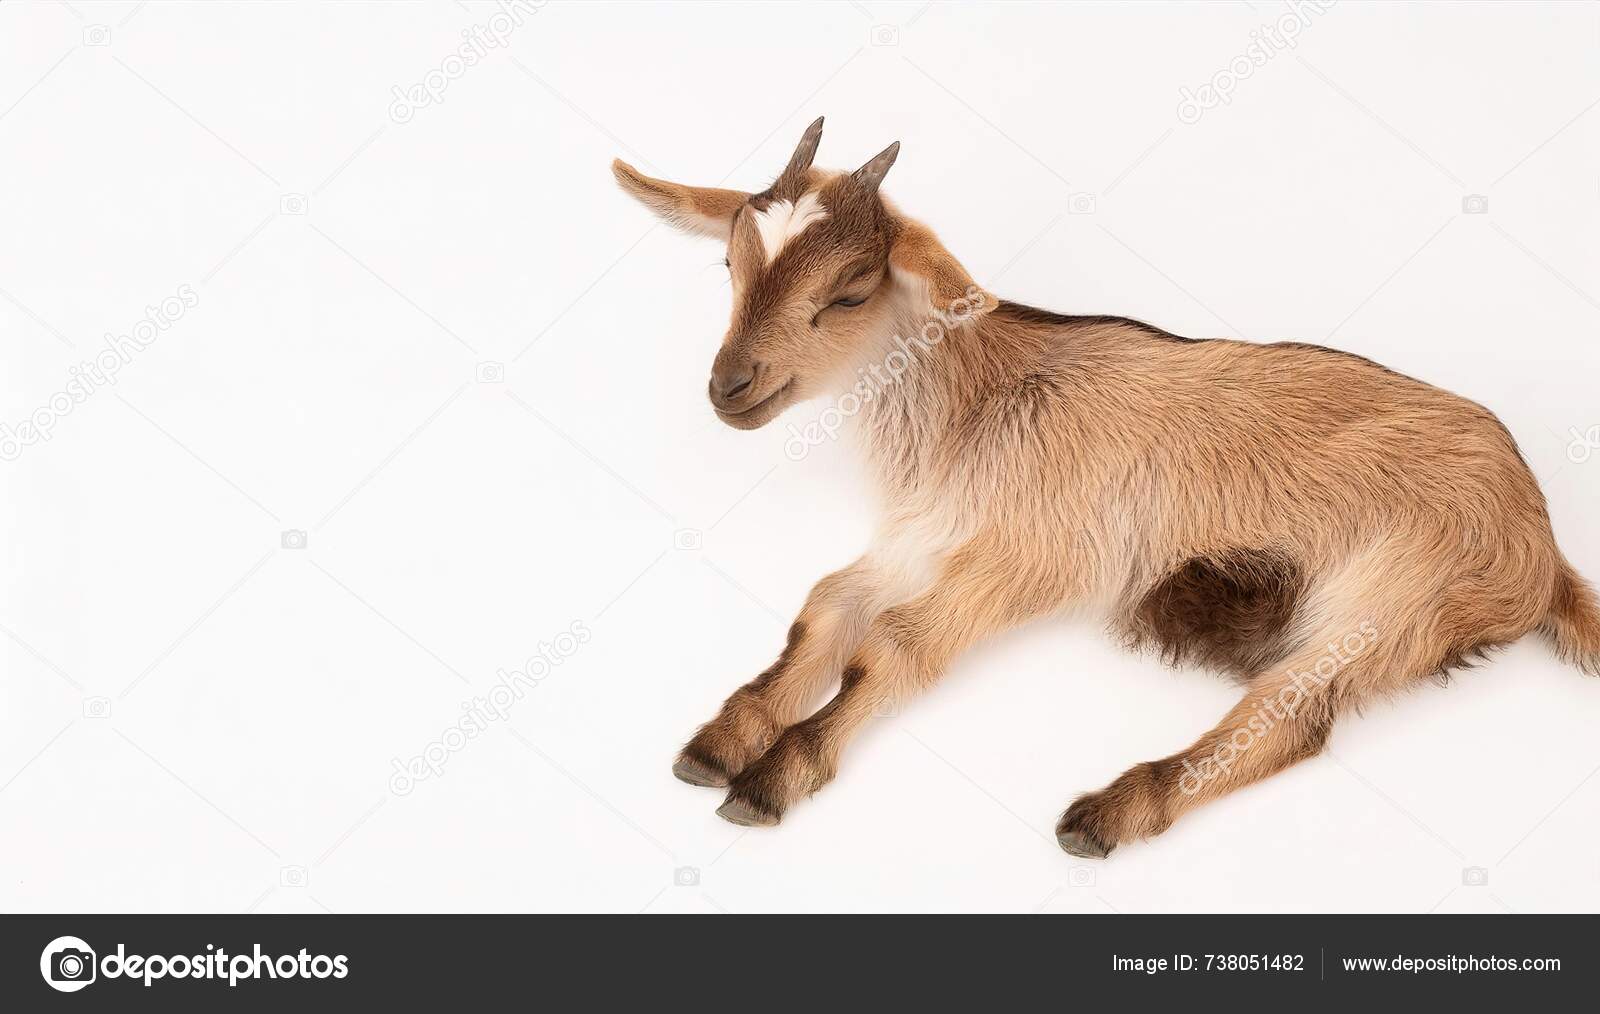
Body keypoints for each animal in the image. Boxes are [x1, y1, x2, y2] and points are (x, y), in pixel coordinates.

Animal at [612, 118, 1600, 858]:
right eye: (730, 266)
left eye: (850, 290)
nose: (728, 387)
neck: (974, 404)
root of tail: (1544, 547)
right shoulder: (923, 533)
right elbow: (827, 606)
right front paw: (717, 745)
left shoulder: (1041, 556)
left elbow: (894, 641)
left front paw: (773, 778)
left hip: (1397, 594)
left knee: (1291, 716)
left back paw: (1108, 814)